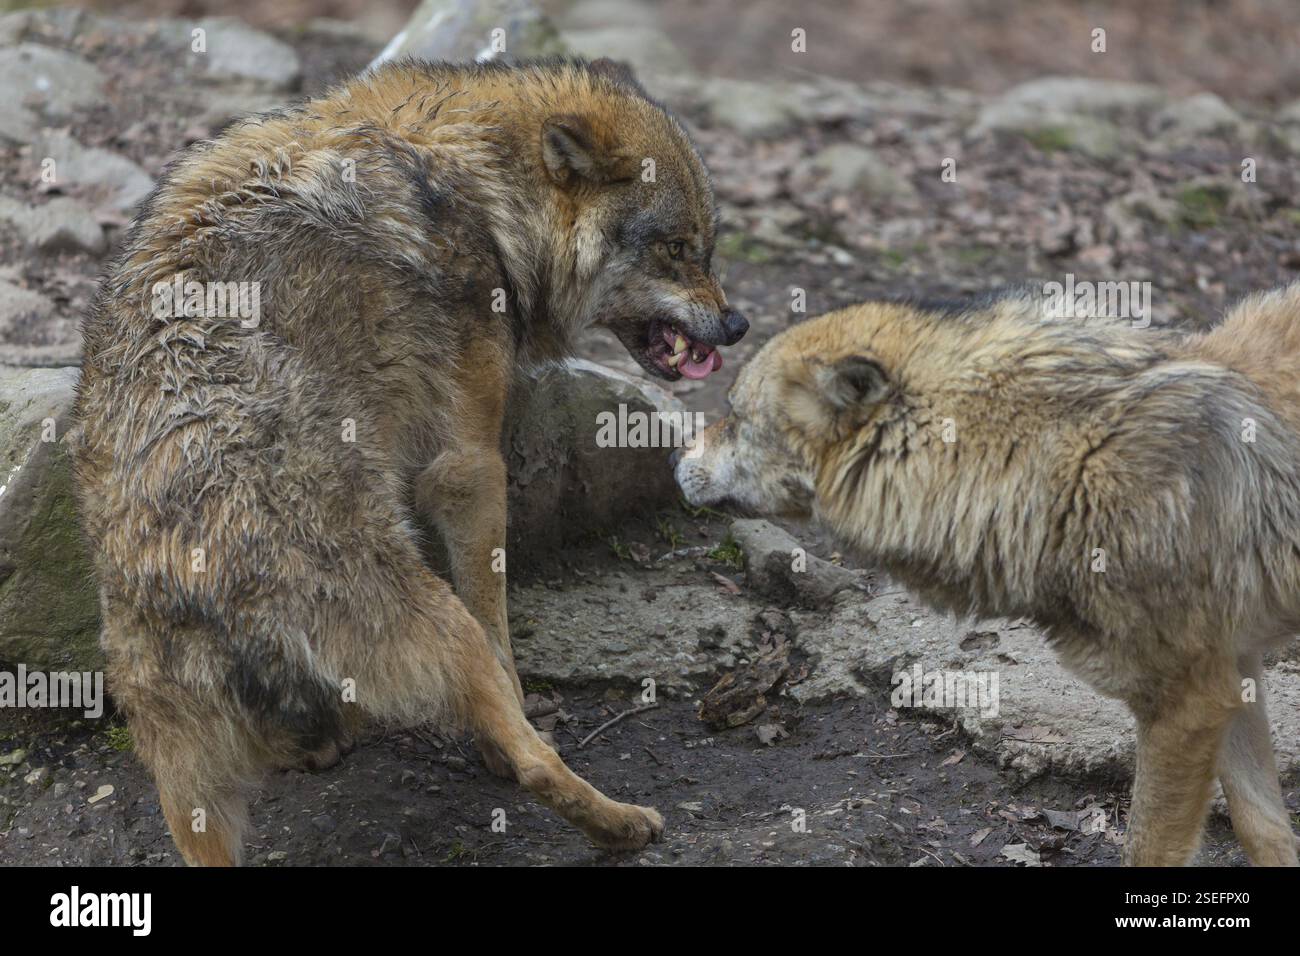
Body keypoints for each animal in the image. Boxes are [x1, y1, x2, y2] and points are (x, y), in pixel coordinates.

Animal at [72, 58, 745, 865]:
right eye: (676, 249)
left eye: (706, 248)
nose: (738, 324)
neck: (476, 181)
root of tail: (198, 588)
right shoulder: (467, 467)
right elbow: (499, 627)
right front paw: (520, 713)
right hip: (441, 624)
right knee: (529, 758)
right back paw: (620, 822)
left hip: (186, 787)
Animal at [675, 286, 1300, 866]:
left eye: (736, 417)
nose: (675, 458)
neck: (1049, 466)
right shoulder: (1230, 675)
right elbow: (1264, 829)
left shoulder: (1189, 701)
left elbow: (1149, 846)